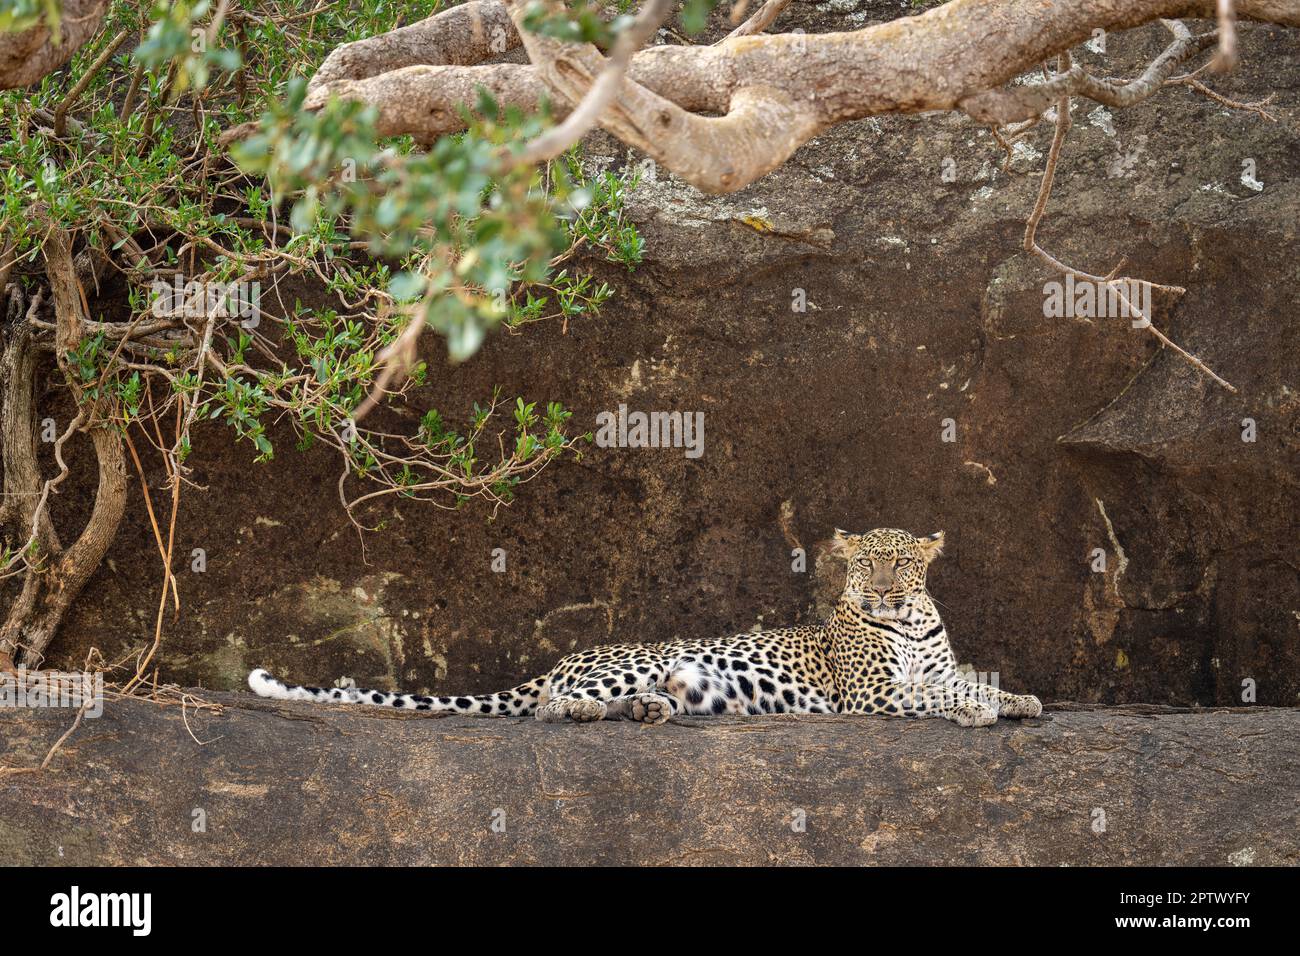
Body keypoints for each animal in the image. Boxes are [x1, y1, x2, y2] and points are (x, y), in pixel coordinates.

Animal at [248, 527, 1042, 728]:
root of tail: (561, 660)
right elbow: (934, 696)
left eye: (902, 564)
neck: (909, 624)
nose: (880, 591)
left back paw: (650, 711)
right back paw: (598, 709)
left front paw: (1020, 699)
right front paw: (979, 711)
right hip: (628, 662)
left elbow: (965, 681)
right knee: (549, 706)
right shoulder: (871, 696)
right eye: (867, 564)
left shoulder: (934, 664)